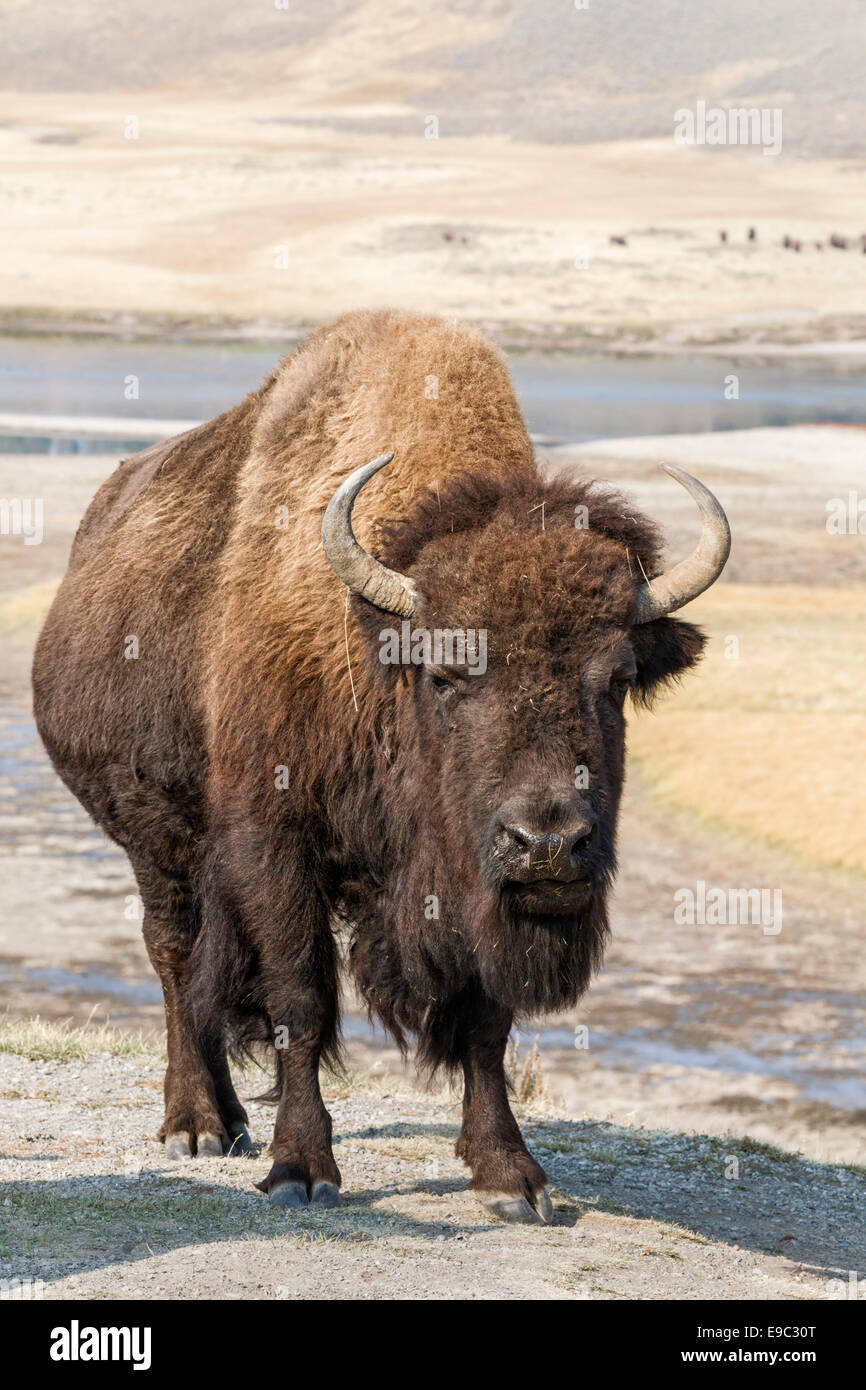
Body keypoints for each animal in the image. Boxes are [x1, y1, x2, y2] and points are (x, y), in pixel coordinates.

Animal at [32, 310, 730, 1223]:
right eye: (444, 673)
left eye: (616, 679)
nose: (547, 845)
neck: (374, 652)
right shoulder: (275, 844)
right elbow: (298, 999)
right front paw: (301, 1169)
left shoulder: (472, 889)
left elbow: (485, 1023)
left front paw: (512, 1177)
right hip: (154, 842)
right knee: (175, 959)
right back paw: (197, 1125)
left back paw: (230, 1121)